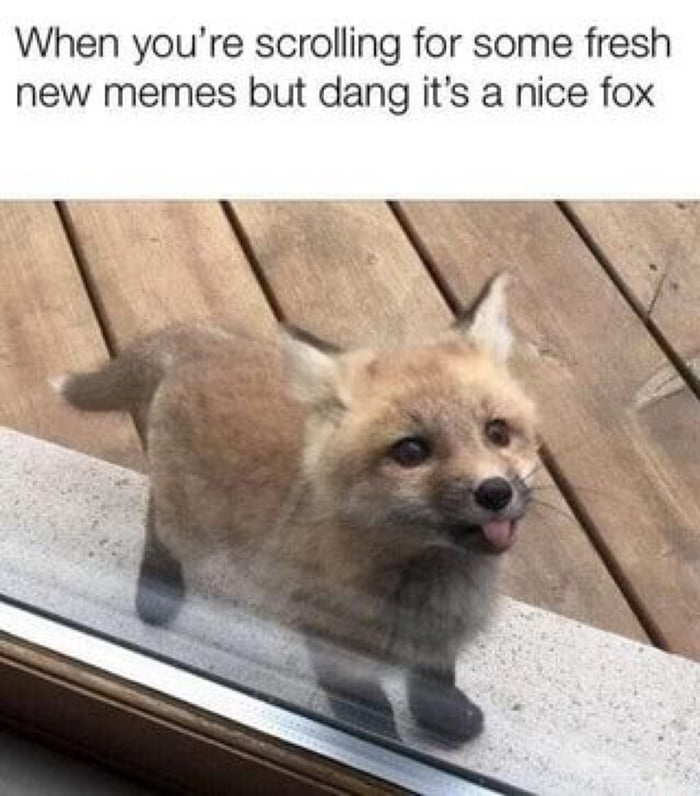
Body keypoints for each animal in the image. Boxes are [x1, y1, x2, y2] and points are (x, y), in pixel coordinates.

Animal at [57, 273, 539, 745]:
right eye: (411, 451)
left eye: (497, 432)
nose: (494, 492)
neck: (427, 586)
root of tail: (204, 344)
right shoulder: (333, 646)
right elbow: (370, 716)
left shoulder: (439, 641)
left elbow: (434, 682)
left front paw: (444, 718)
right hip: (191, 527)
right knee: (158, 521)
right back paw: (158, 589)